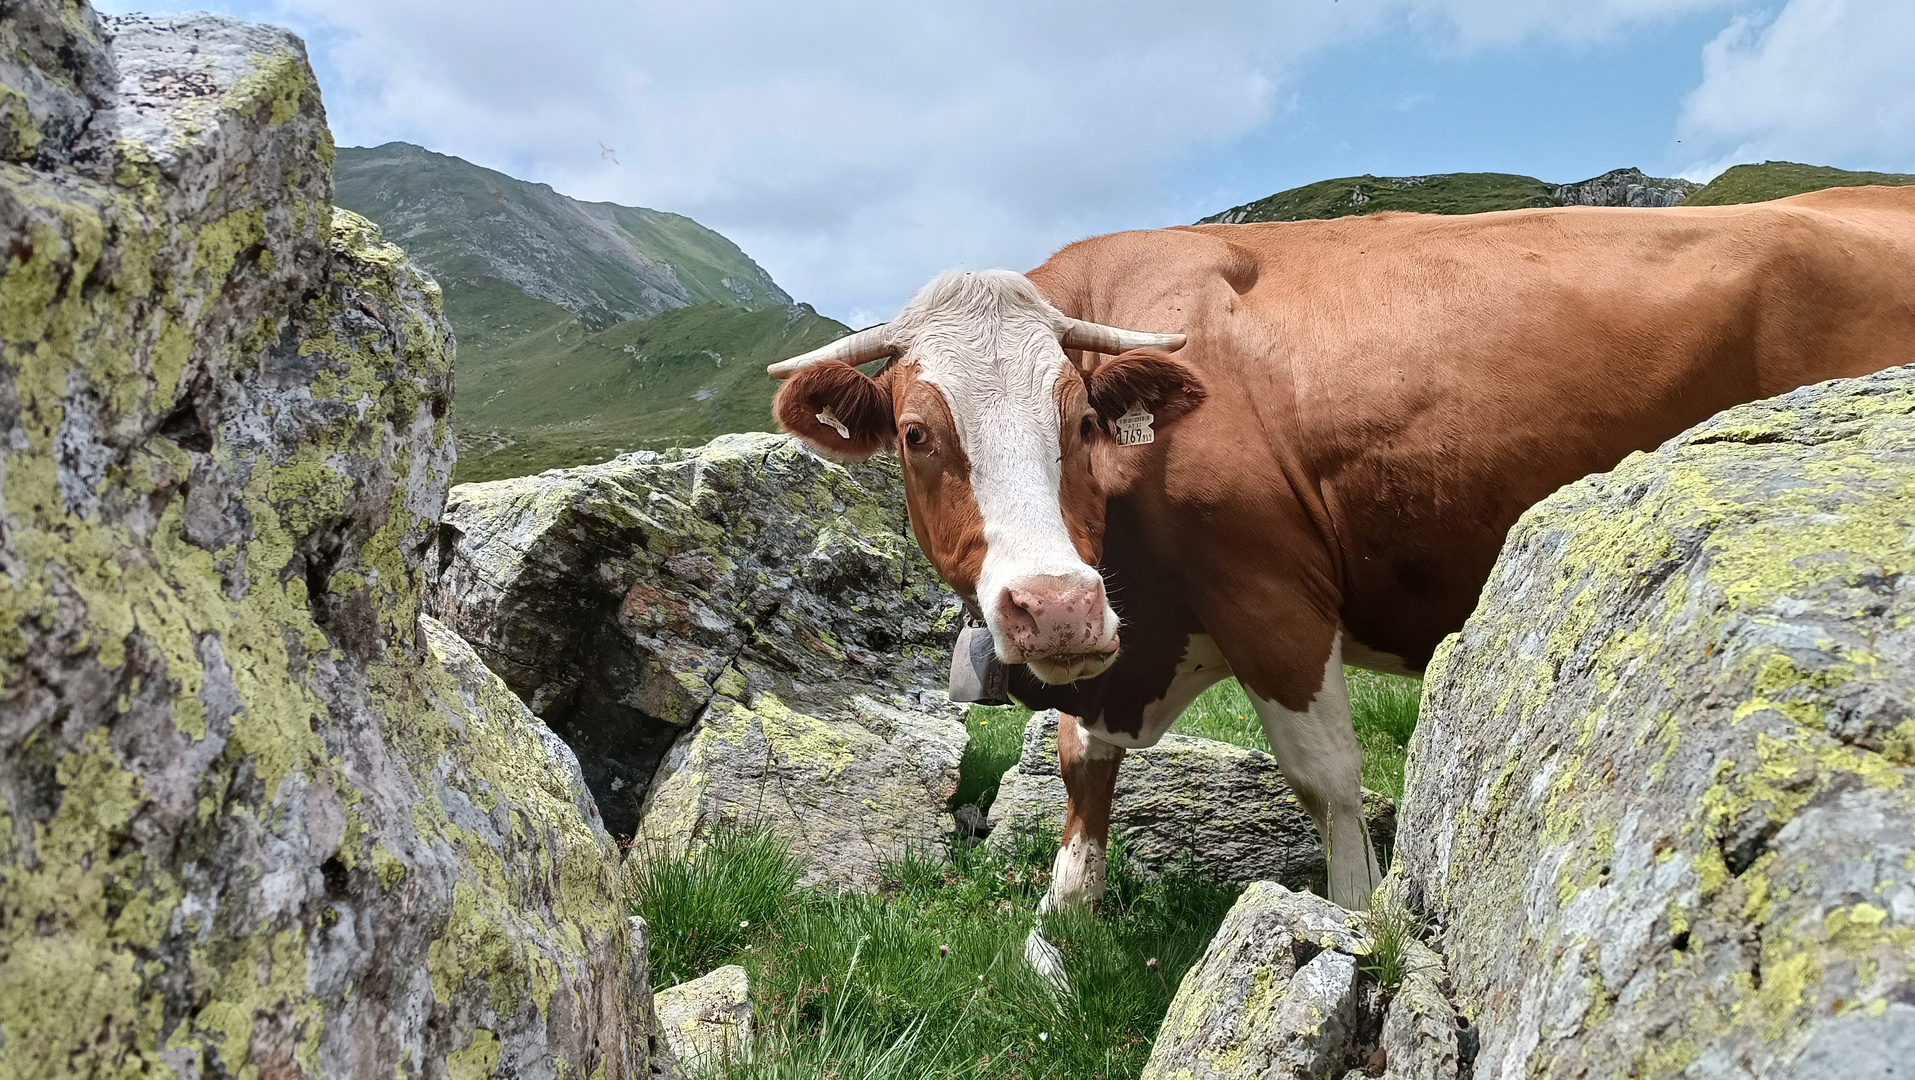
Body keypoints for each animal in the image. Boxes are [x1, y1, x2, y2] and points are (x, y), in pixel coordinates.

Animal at [762, 183, 1915, 911]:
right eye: (918, 434)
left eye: (1081, 418)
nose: (1055, 607)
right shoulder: (1126, 640)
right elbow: (1080, 762)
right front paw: (1060, 931)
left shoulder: (1268, 595)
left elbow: (1322, 777)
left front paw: (1357, 915)